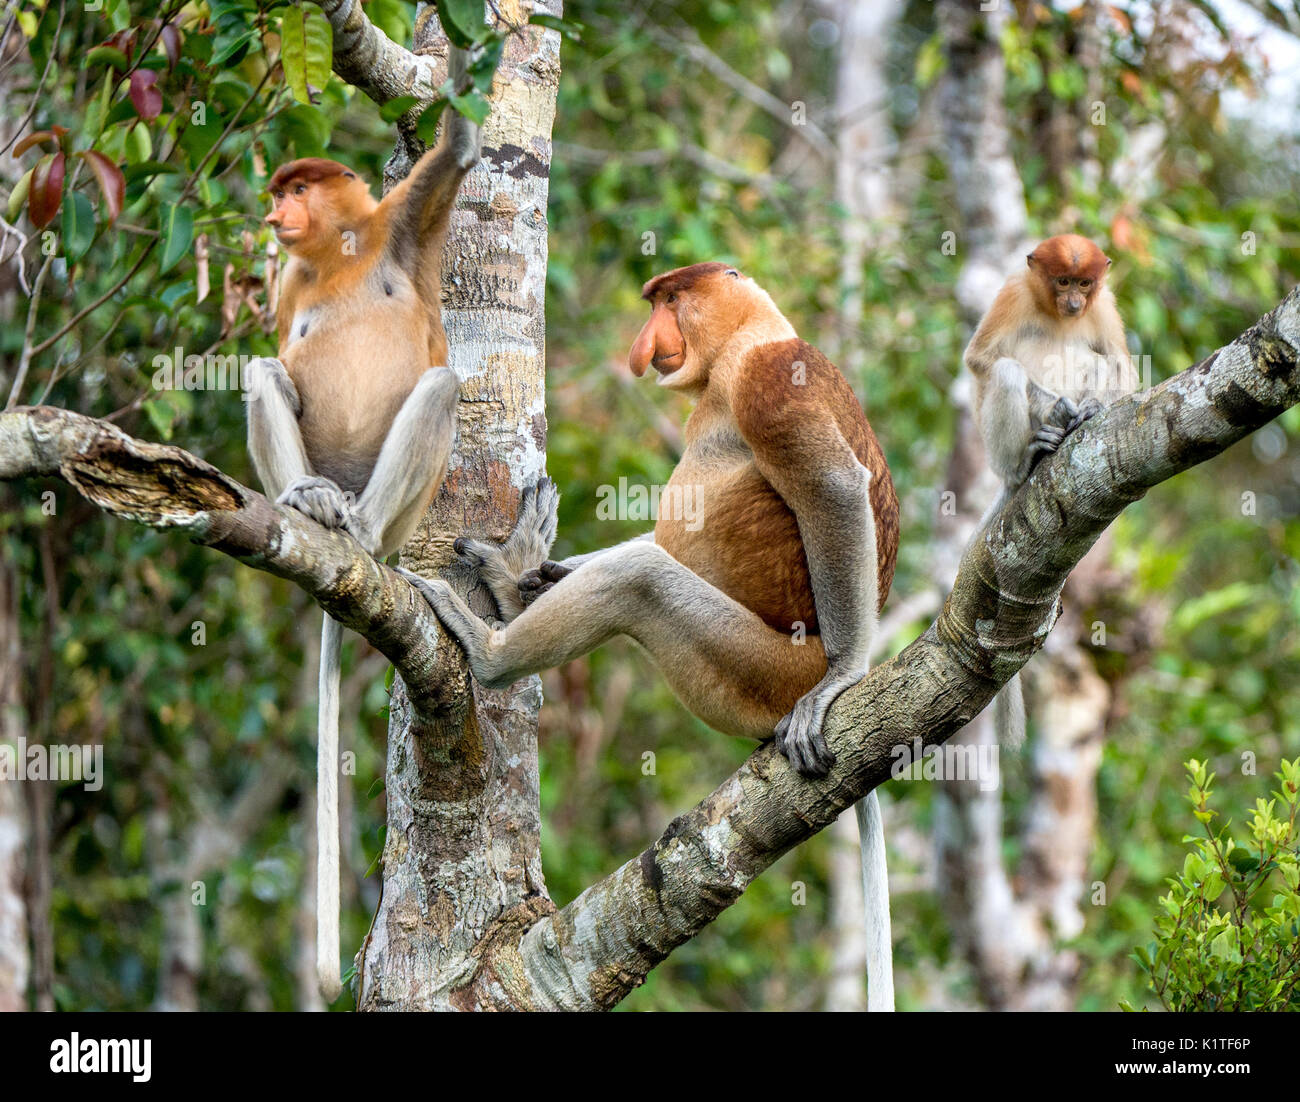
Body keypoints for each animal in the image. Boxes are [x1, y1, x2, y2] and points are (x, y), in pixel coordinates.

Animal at [399, 262, 903, 1010]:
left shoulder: (772, 379)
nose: (644, 346)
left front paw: (844, 677)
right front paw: (541, 572)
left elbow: (835, 488)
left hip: (764, 669)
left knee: (641, 579)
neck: (745, 344)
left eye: (670, 300)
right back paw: (516, 582)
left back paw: (490, 652)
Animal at [963, 233, 1136, 748]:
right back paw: (1030, 459)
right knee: (1005, 372)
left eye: (1084, 283)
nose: (1074, 303)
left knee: (1097, 358)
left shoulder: (1106, 307)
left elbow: (1121, 365)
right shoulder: (1013, 292)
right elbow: (982, 359)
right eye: (1061, 281)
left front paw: (1091, 408)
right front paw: (1058, 407)